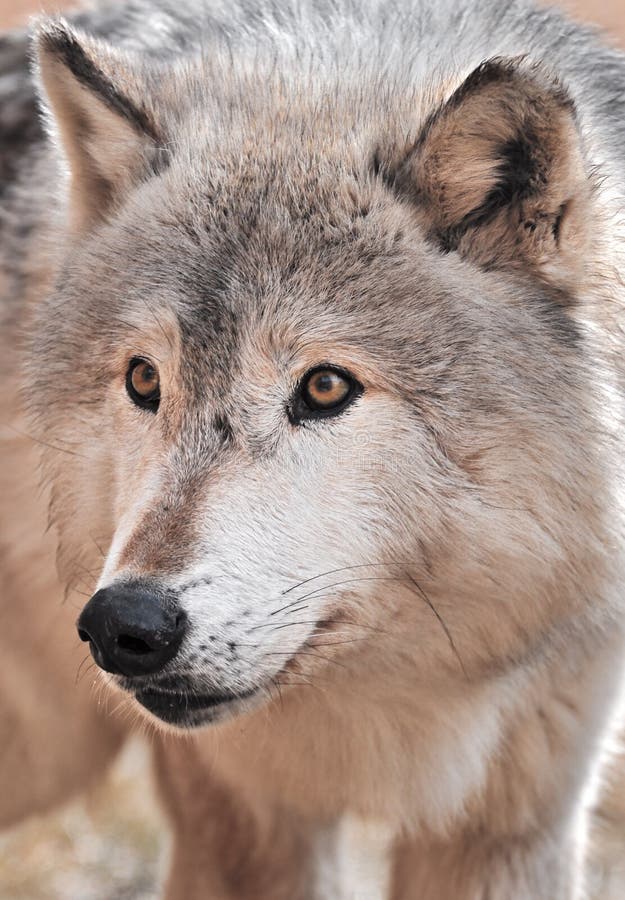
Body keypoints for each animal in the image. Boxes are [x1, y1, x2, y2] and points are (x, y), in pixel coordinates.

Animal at [2, 0, 625, 896]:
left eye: (325, 387)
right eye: (145, 380)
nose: (124, 624)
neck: (391, 699)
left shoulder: (512, 827)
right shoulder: (242, 817)